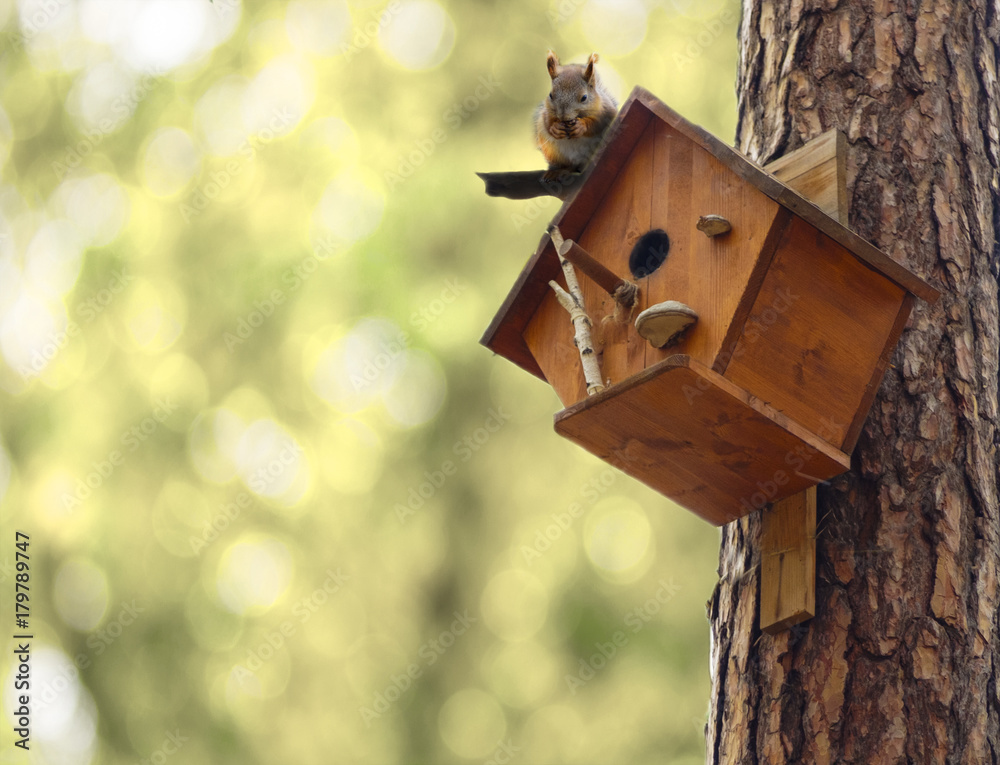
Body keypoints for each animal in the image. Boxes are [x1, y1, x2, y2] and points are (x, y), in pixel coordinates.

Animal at [534, 51, 618, 183]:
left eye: (584, 97)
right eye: (550, 95)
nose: (563, 116)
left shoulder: (606, 110)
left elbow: (598, 124)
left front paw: (581, 126)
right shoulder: (547, 111)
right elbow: (547, 122)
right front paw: (555, 128)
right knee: (569, 167)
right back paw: (557, 172)